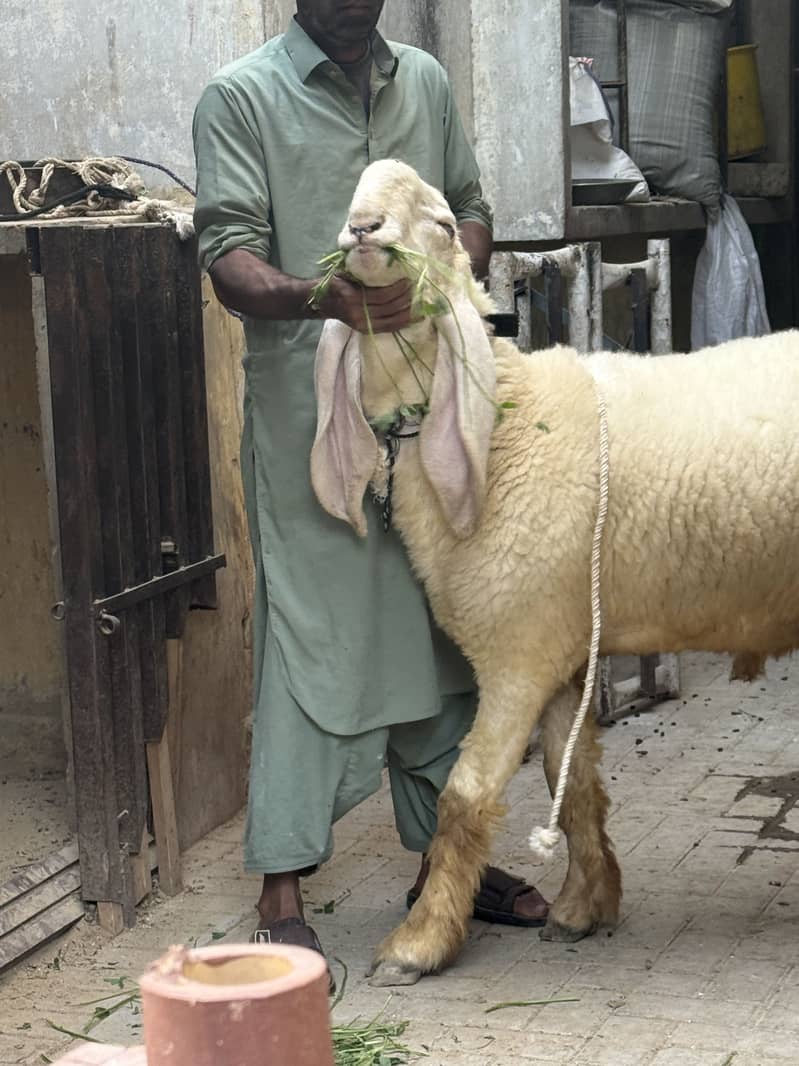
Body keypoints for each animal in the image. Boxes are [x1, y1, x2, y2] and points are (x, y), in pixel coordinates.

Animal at [310, 158, 799, 987]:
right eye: (350, 201)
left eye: (442, 223)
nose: (364, 229)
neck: (504, 426)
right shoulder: (558, 646)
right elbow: (569, 788)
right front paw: (582, 906)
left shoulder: (516, 651)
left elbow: (465, 798)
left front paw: (417, 943)